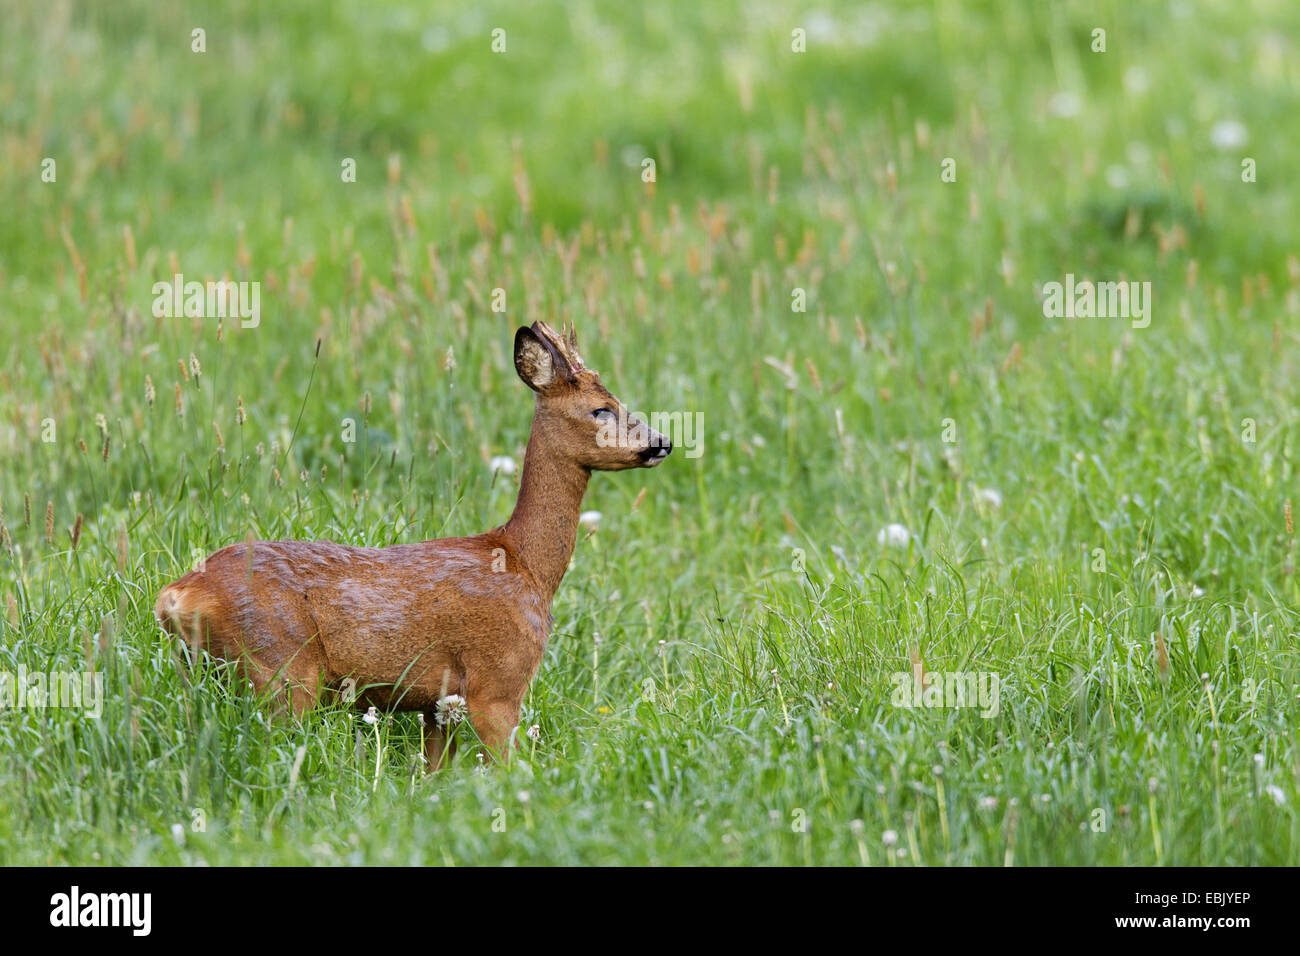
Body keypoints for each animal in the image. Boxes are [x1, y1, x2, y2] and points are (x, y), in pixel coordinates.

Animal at [155, 321, 671, 769]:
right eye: (602, 407)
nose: (663, 442)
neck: (525, 565)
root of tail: (176, 595)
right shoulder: (498, 681)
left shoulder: (437, 702)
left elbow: (434, 770)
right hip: (280, 668)